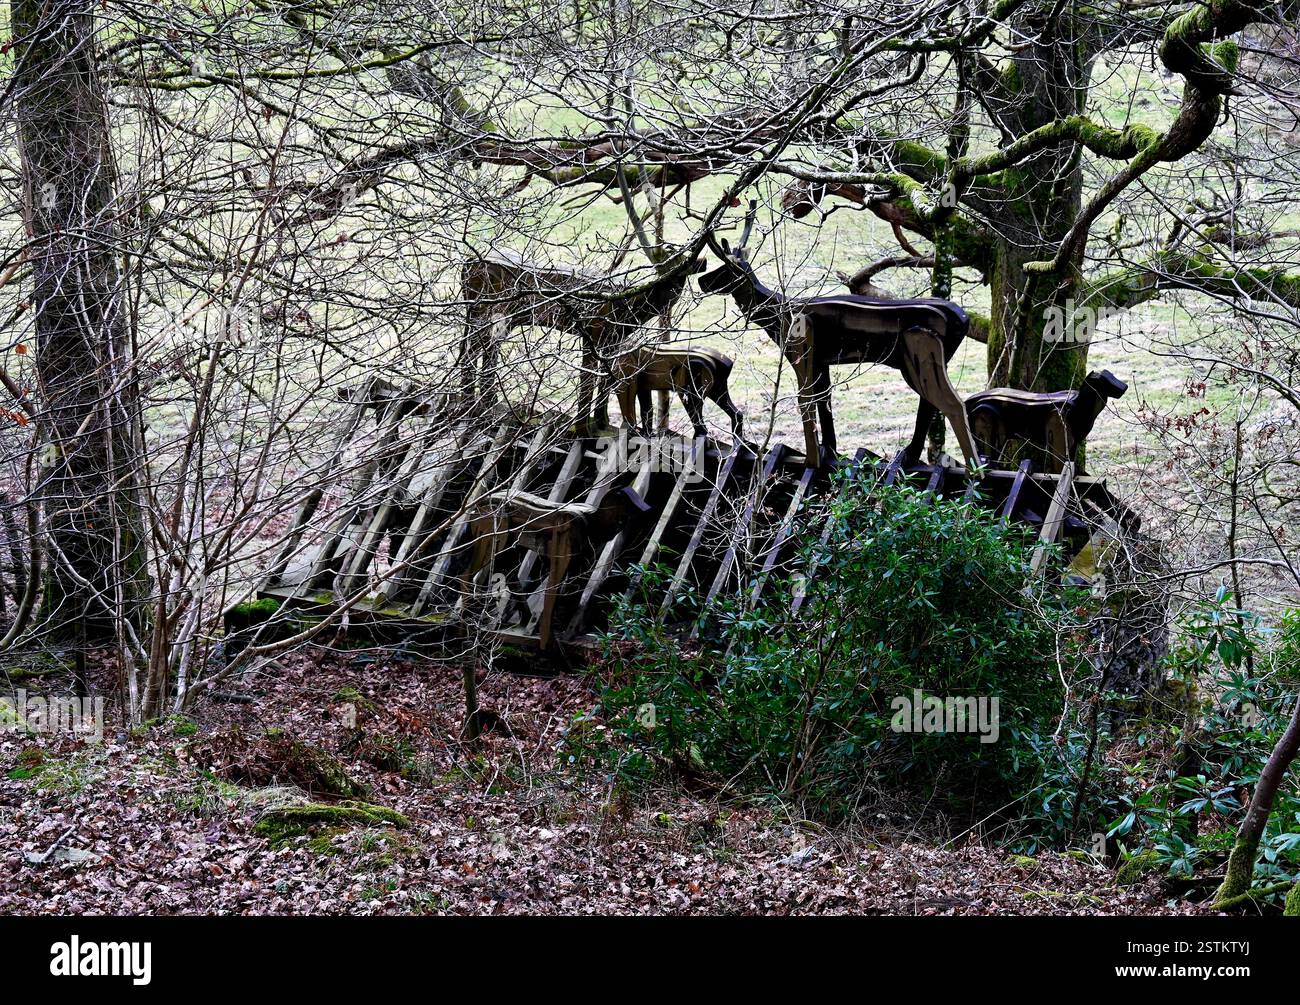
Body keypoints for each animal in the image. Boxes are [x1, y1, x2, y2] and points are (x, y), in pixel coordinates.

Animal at [459, 248, 706, 431]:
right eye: (666, 270)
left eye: (683, 271)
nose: (672, 289)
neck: (627, 310)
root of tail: (467, 262)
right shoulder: (591, 330)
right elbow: (587, 378)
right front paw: (582, 428)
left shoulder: (612, 340)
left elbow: (606, 380)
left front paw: (602, 422)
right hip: (486, 310)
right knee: (474, 349)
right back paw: (471, 404)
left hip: (498, 317)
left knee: (484, 349)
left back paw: (484, 403)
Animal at [609, 344, 744, 440]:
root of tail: (726, 364)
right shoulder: (642, 389)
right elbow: (646, 412)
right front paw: (646, 434)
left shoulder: (626, 386)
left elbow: (629, 416)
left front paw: (631, 434)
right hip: (717, 391)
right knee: (737, 414)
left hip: (690, 393)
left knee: (702, 429)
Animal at [696, 206, 979, 470]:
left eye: (724, 270)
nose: (701, 280)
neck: (777, 317)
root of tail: (962, 321)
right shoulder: (823, 360)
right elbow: (825, 401)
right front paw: (829, 450)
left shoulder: (802, 350)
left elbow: (805, 400)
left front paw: (811, 460)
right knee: (931, 404)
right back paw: (911, 455)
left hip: (919, 351)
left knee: (951, 403)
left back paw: (973, 470)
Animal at [963, 369, 1128, 474]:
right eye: (1106, 381)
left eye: (1112, 376)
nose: (1125, 387)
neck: (1081, 405)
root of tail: (966, 402)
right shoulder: (1058, 432)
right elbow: (1060, 467)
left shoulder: (1074, 441)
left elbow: (1071, 463)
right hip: (986, 424)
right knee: (984, 457)